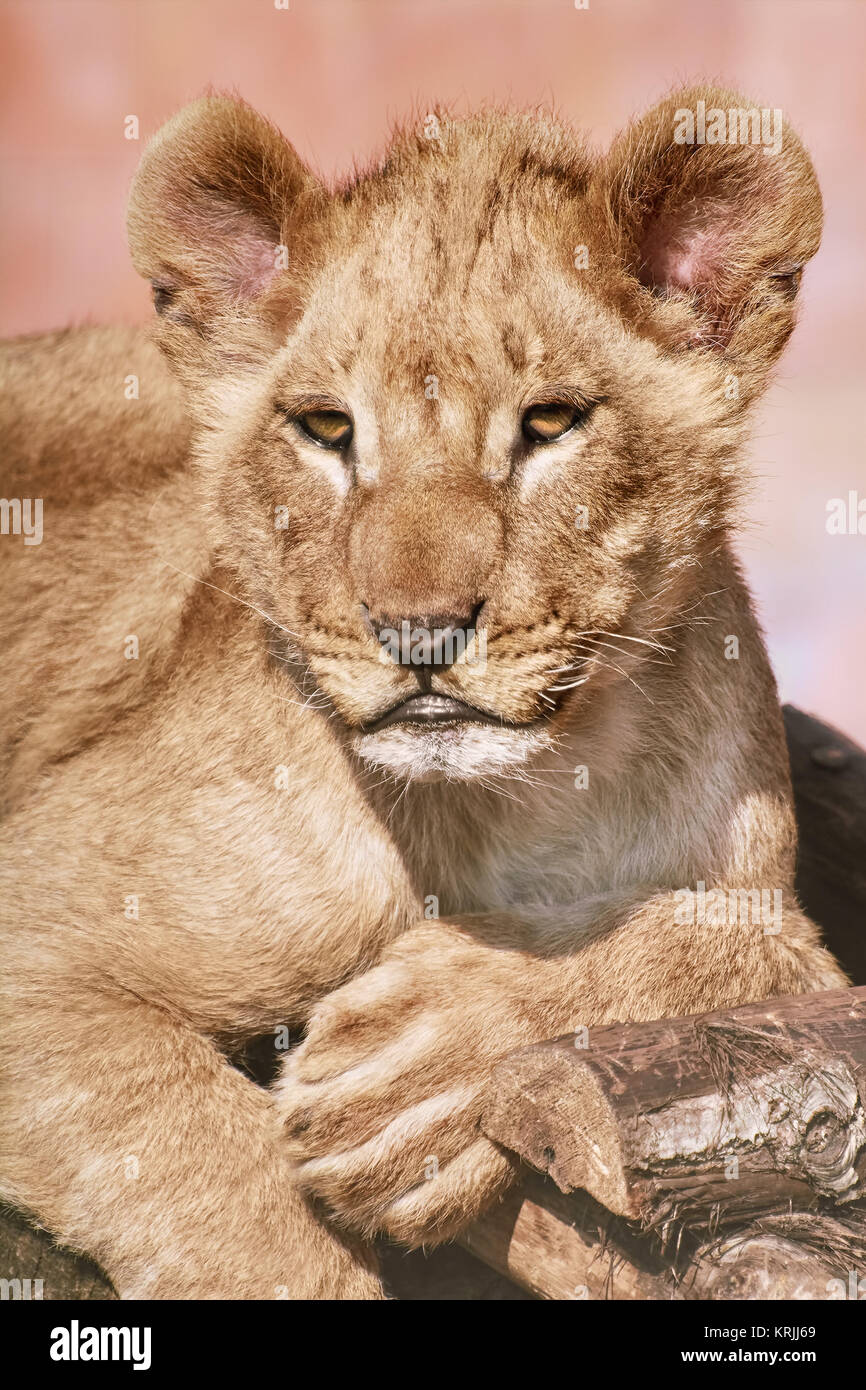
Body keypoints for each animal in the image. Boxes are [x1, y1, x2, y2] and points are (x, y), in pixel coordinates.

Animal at [0, 86, 846, 1299]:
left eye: (550, 423)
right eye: (326, 428)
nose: (418, 628)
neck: (504, 808)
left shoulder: (753, 888)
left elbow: (736, 941)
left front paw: (417, 1073)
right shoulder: (41, 931)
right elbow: (233, 1200)